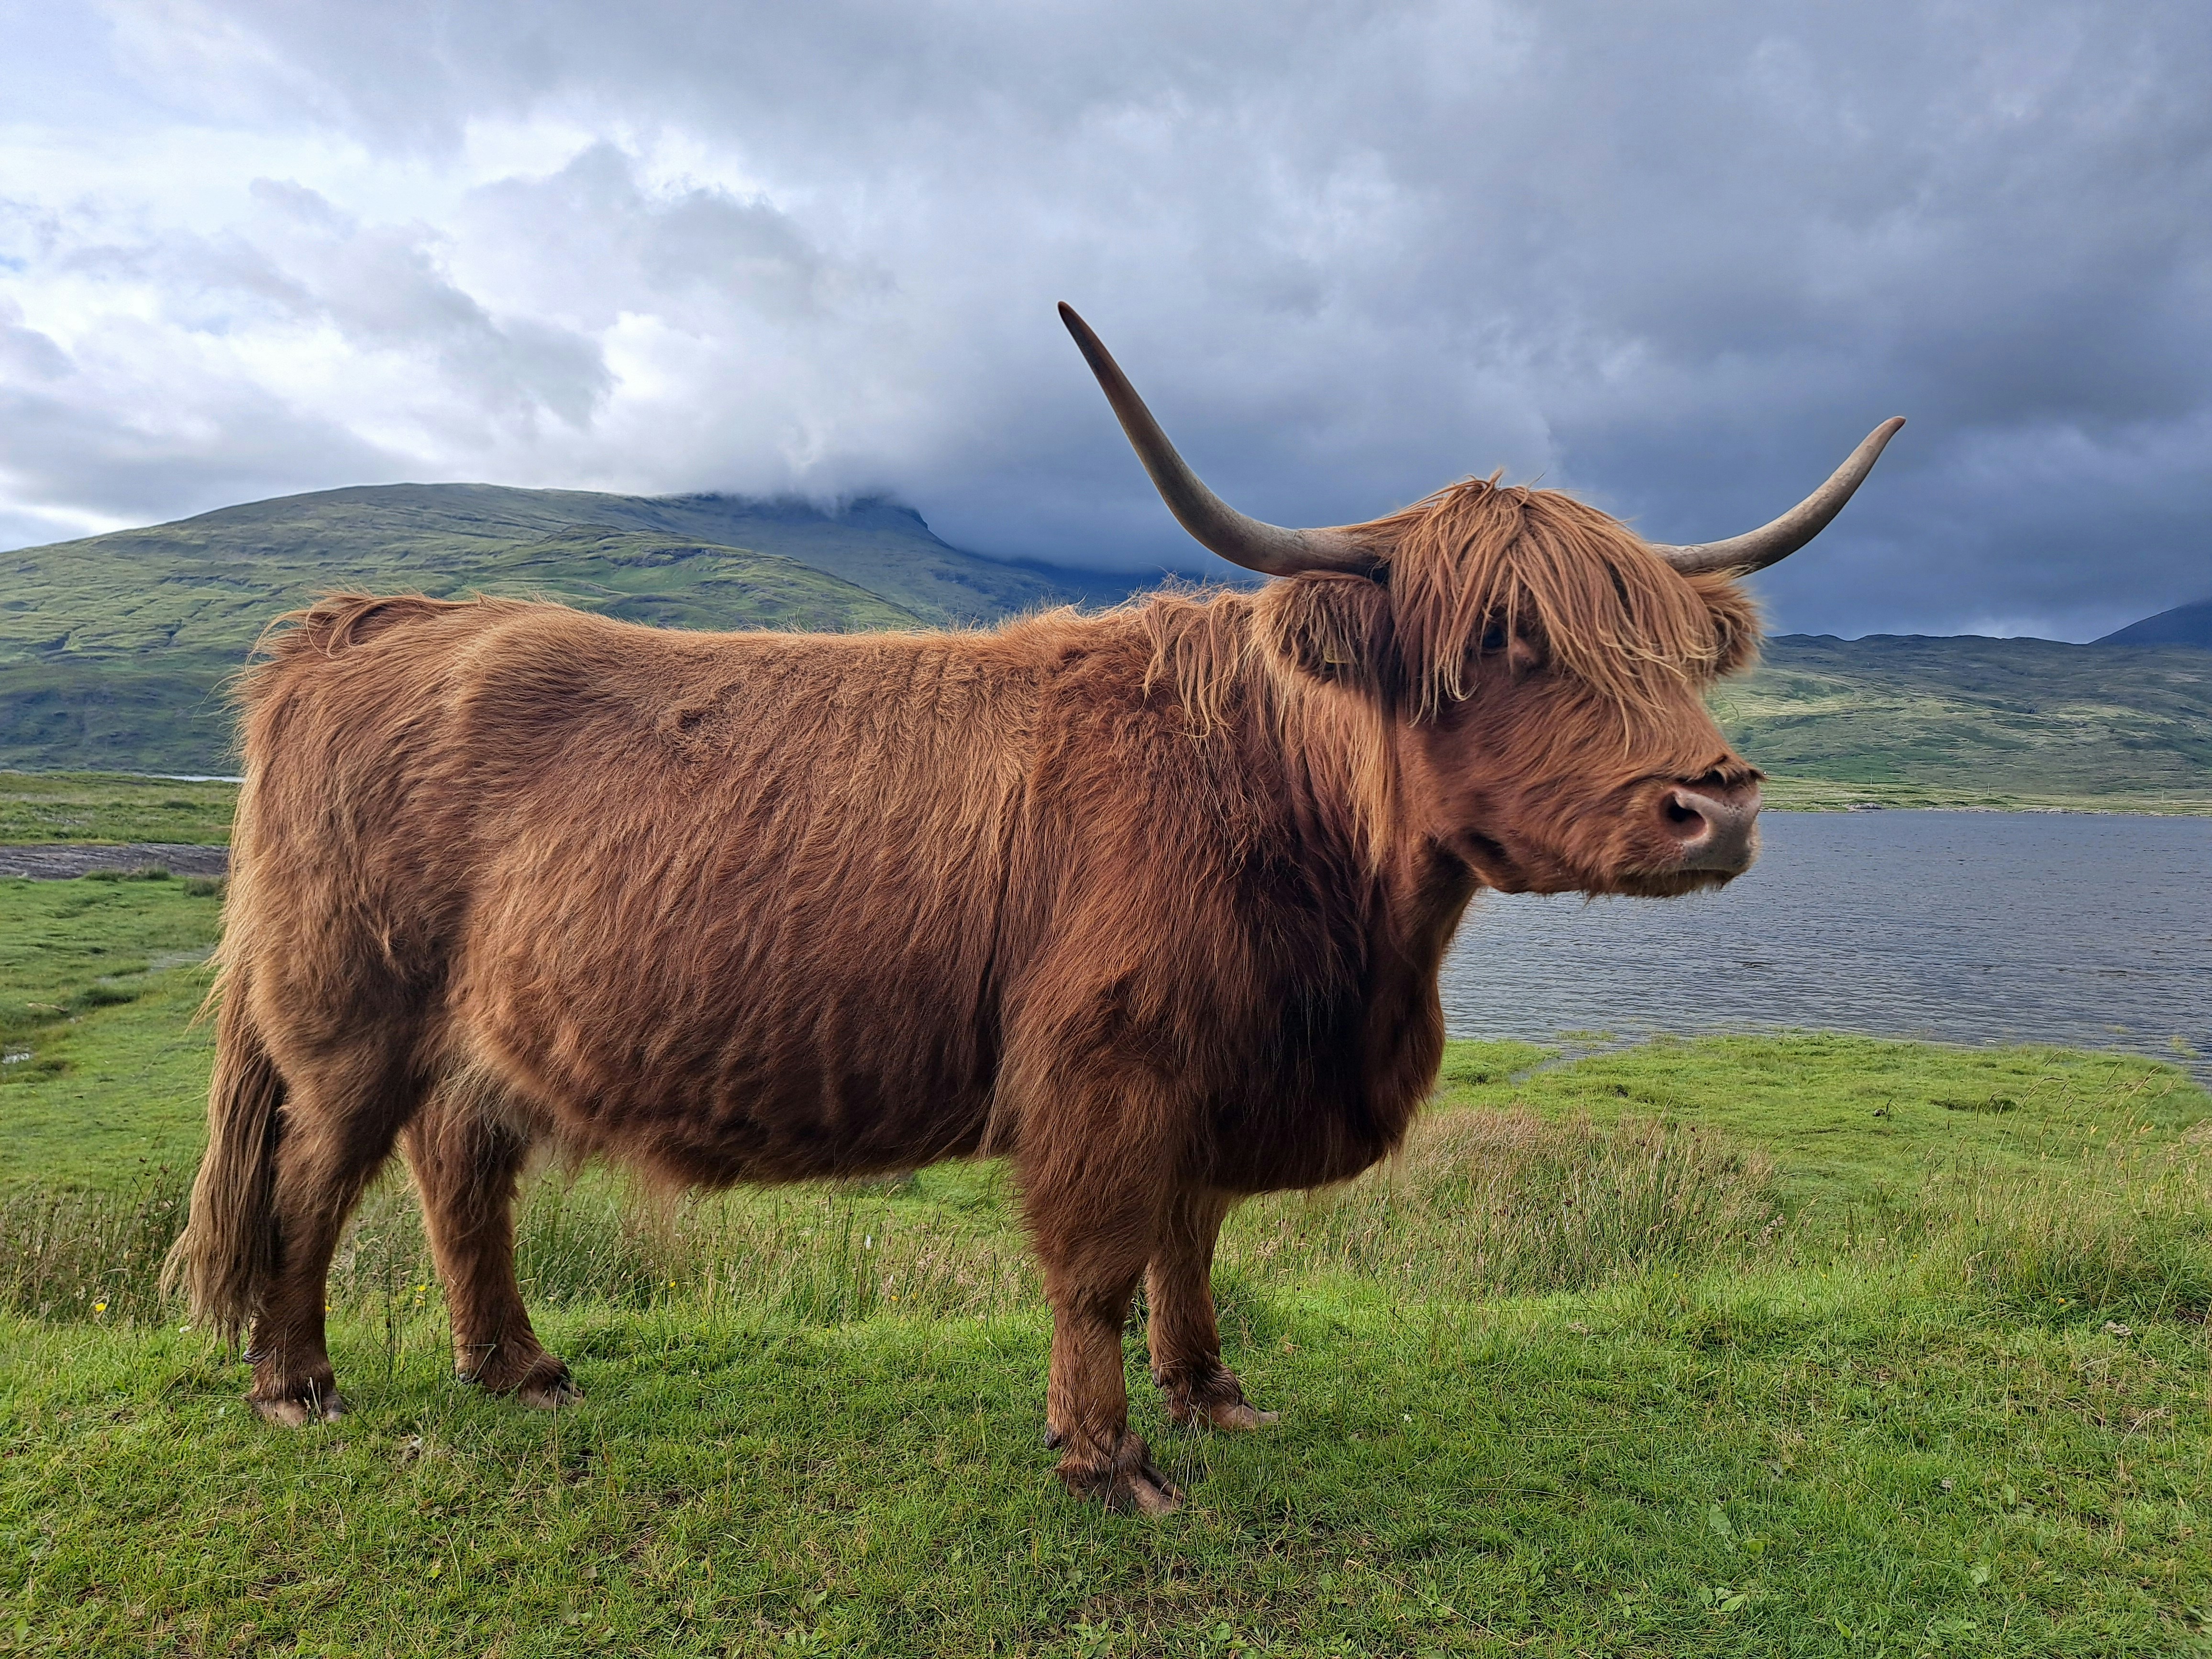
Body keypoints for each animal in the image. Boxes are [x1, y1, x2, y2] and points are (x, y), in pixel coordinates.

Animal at [166, 304, 1901, 1515]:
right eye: (1500, 641)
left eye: (1665, 643)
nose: (1718, 802)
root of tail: (373, 620)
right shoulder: (1106, 1068)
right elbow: (1098, 1262)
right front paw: (1109, 1459)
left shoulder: (1219, 1068)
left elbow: (1196, 1238)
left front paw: (1212, 1393)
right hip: (345, 1018)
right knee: (314, 1185)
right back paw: (298, 1382)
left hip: (478, 1036)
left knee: (463, 1180)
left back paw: (518, 1366)